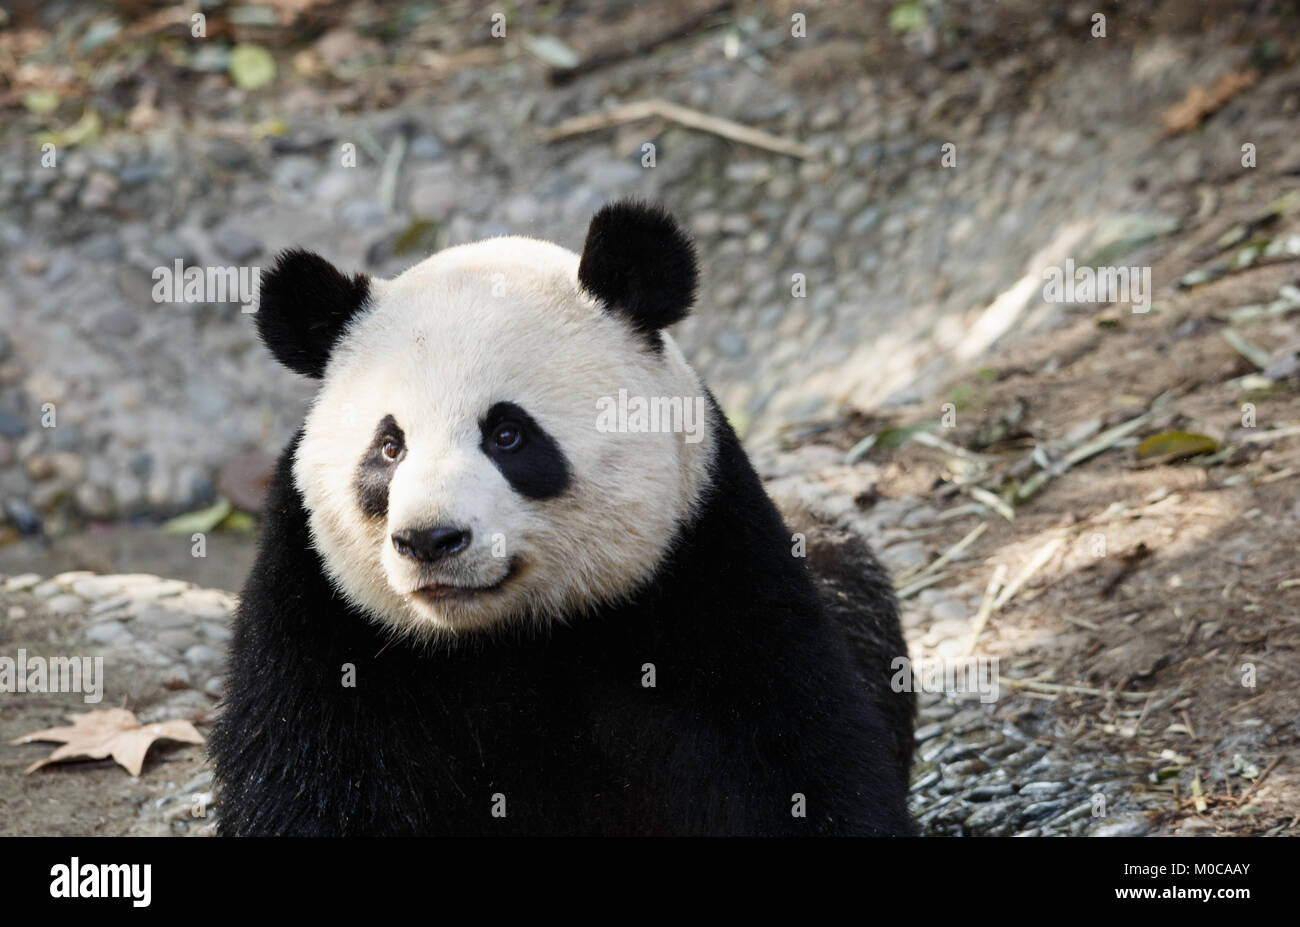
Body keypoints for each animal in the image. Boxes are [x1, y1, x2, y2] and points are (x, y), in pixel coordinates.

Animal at [210, 200, 915, 836]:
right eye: (389, 447)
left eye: (508, 435)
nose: (430, 540)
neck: (504, 636)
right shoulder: (324, 620)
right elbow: (309, 778)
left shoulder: (708, 567)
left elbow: (787, 753)